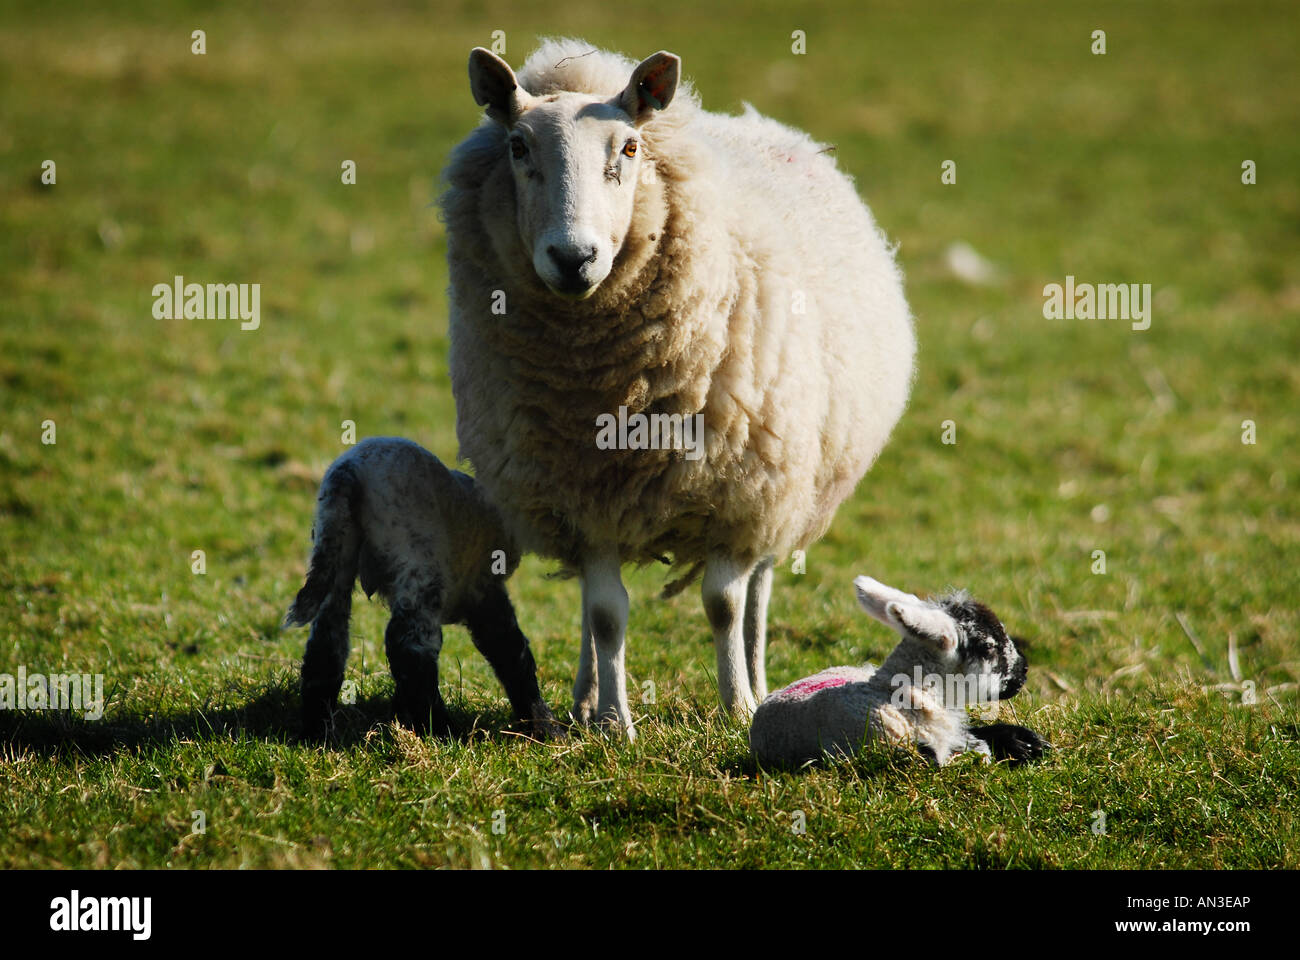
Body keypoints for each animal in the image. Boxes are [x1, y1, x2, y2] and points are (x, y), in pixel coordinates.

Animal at [284, 436, 561, 740]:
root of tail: (350, 472)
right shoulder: (483, 589)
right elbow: (511, 650)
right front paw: (544, 726)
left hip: (337, 543)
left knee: (327, 639)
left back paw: (317, 728)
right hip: (418, 557)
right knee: (408, 646)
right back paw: (441, 728)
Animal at [440, 38, 916, 737]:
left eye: (630, 148)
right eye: (518, 147)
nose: (573, 258)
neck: (607, 389)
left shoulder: (738, 490)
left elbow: (723, 605)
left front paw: (737, 706)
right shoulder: (584, 497)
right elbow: (605, 612)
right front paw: (613, 724)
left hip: (782, 481)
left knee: (758, 591)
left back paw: (759, 680)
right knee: (590, 610)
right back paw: (585, 699)